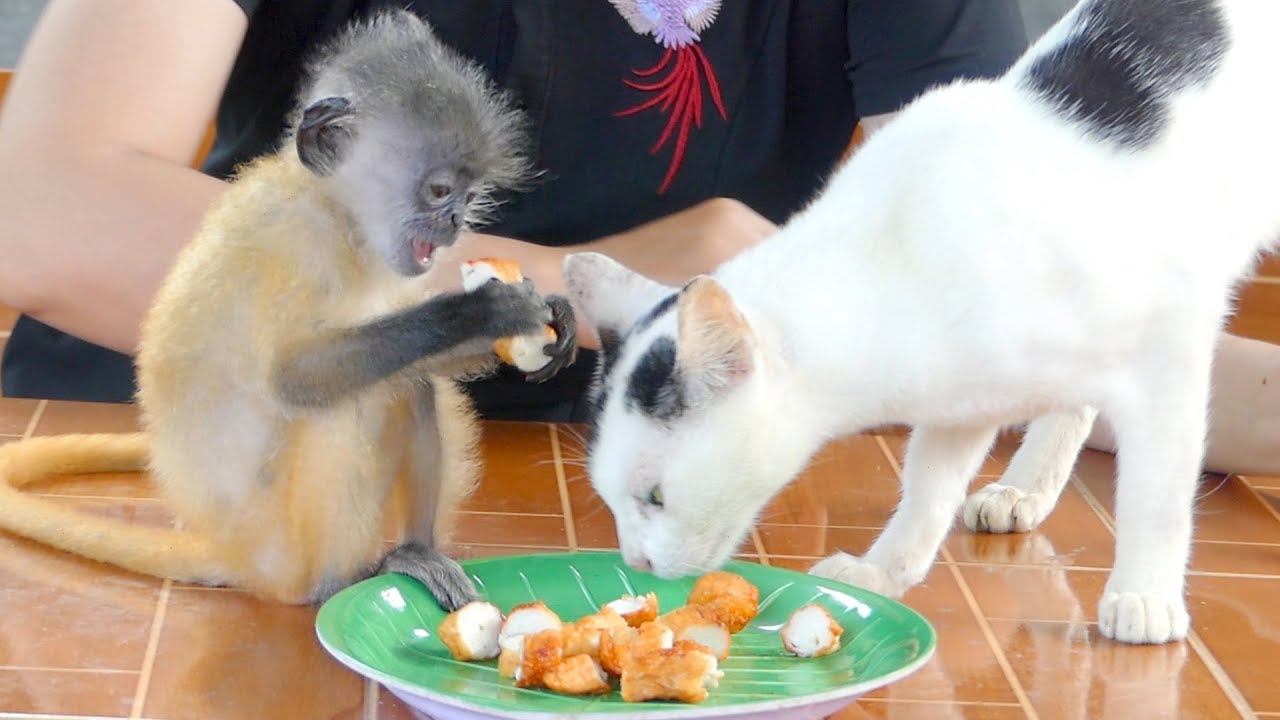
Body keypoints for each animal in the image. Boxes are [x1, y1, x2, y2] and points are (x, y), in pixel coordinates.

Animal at [0, 9, 576, 610]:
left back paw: (416, 553)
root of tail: (233, 553)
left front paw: (554, 313)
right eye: (439, 190)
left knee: (410, 384)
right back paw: (345, 581)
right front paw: (483, 310)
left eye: (469, 195)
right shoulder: (299, 241)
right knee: (347, 402)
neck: (336, 214)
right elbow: (290, 379)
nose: (456, 223)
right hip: (284, 548)